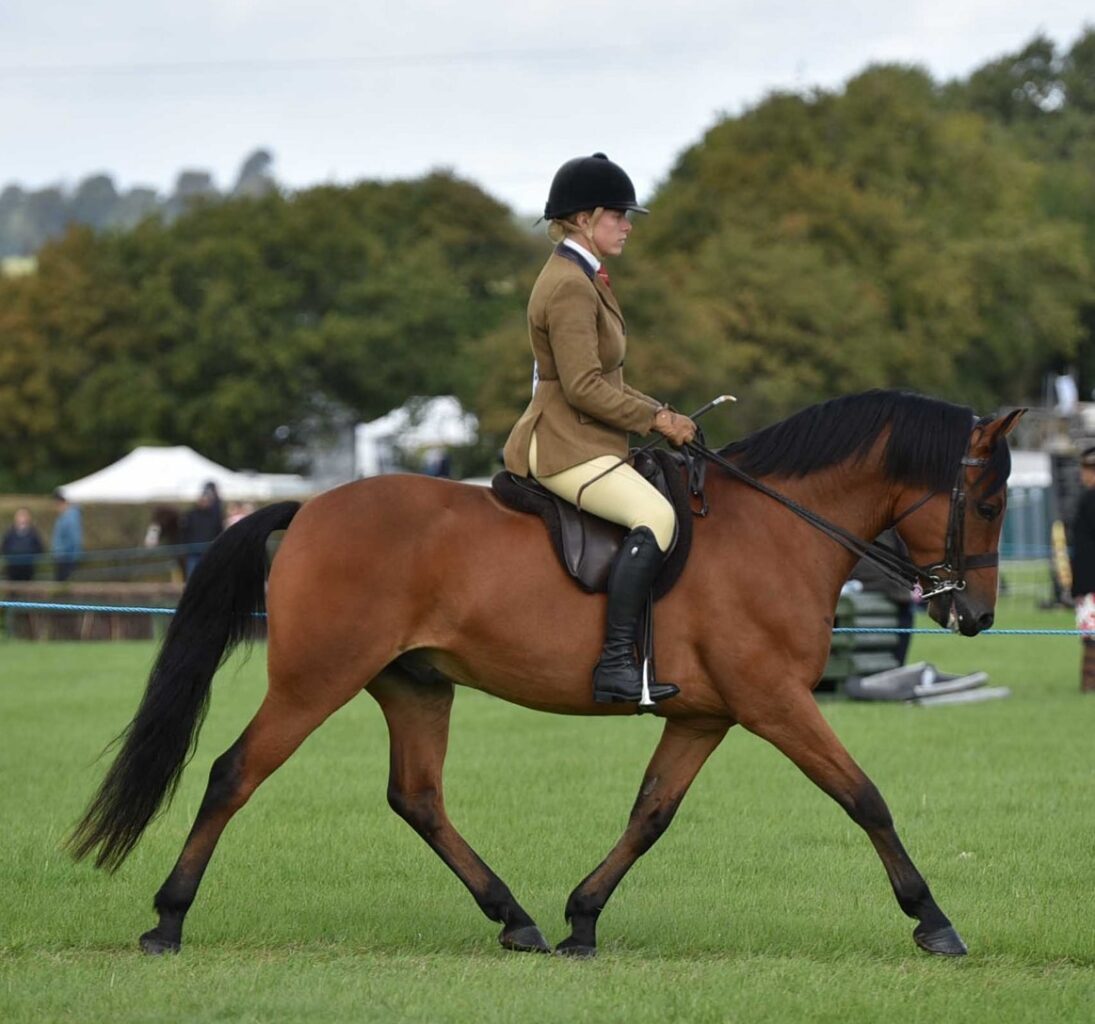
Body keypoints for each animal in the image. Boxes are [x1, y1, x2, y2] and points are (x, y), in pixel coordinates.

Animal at [69, 389, 1024, 958]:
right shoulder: (774, 702)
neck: (776, 529)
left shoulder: (706, 715)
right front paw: (933, 921)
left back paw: (516, 920)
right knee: (235, 773)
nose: (974, 615)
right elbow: (863, 795)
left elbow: (650, 813)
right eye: (986, 501)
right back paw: (167, 919)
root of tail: (307, 510)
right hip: (315, 679)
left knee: (417, 798)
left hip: (415, 683)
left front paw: (581, 919)